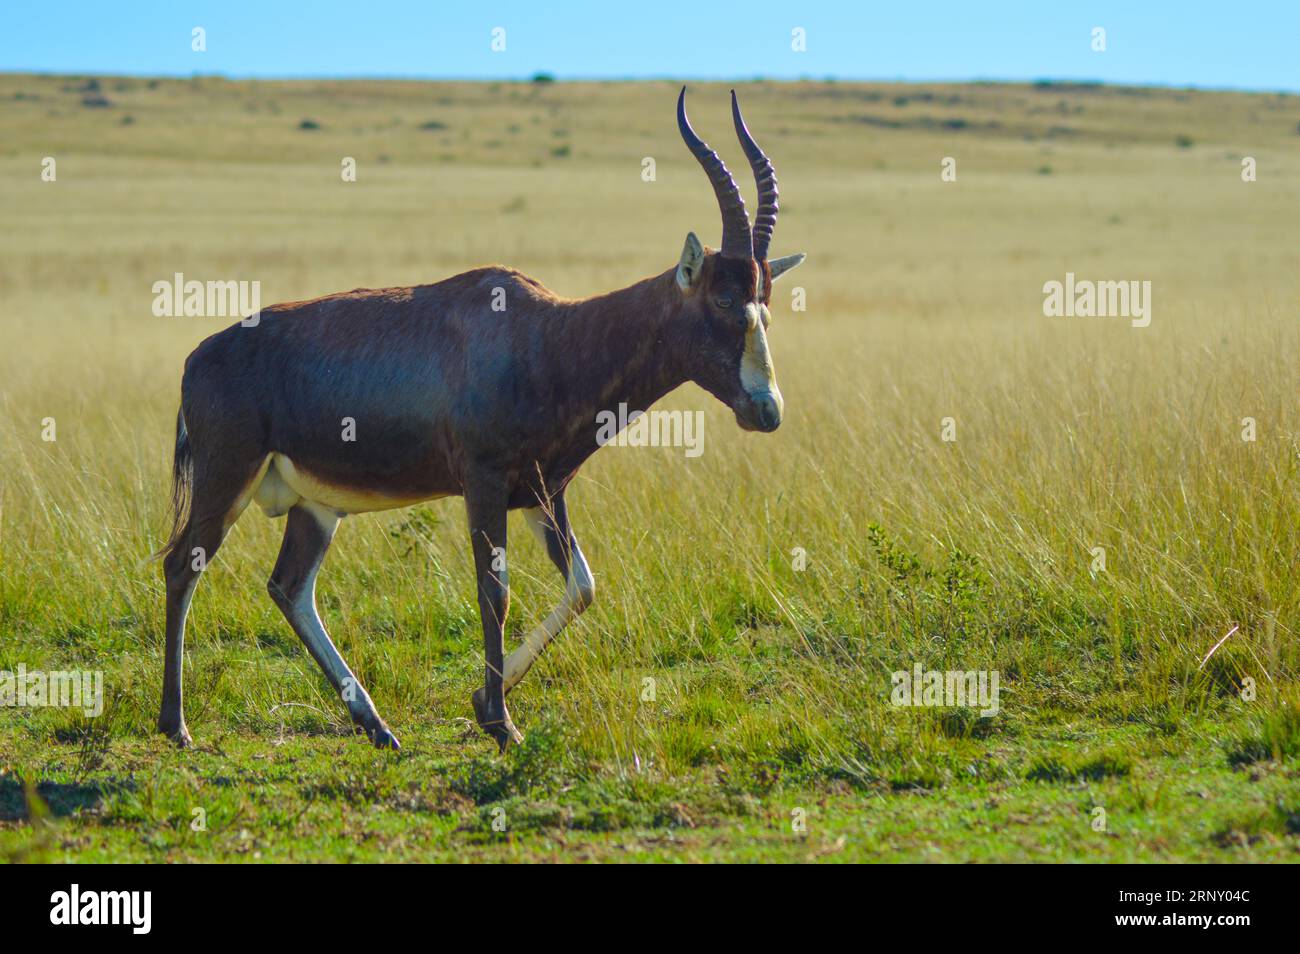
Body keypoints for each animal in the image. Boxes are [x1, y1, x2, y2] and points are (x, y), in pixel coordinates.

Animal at [155, 89, 806, 751]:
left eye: (766, 303)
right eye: (723, 299)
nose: (766, 409)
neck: (545, 334)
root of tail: (197, 359)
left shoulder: (544, 492)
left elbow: (583, 586)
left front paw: (482, 701)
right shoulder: (484, 485)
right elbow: (495, 591)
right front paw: (501, 722)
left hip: (315, 507)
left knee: (290, 586)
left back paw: (377, 726)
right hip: (226, 479)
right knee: (183, 566)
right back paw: (176, 726)